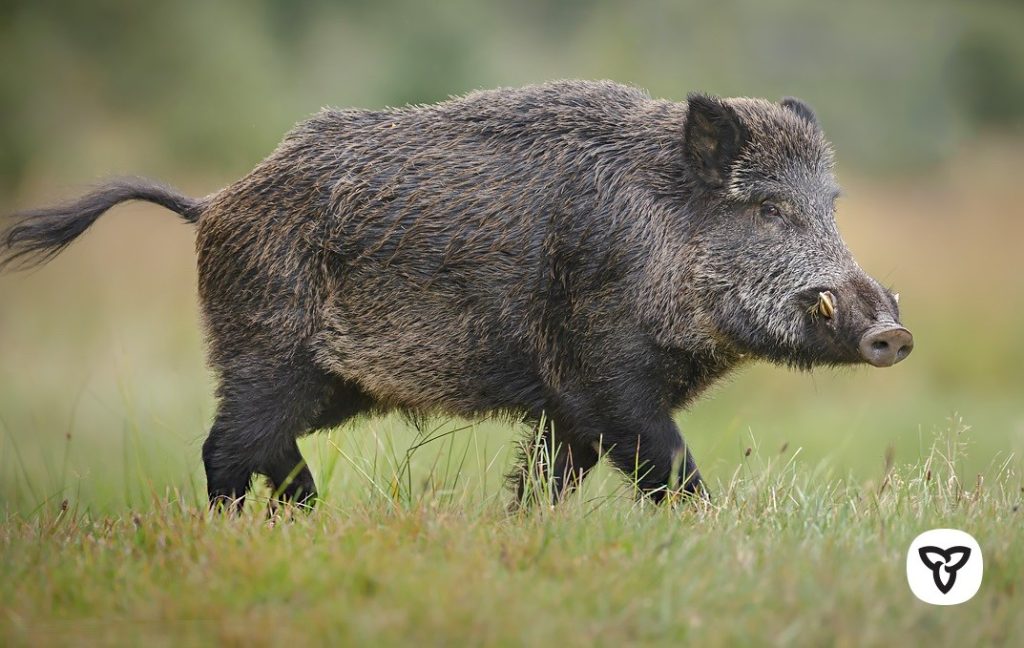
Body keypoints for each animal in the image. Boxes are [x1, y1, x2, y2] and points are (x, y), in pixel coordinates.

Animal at [0, 81, 913, 510]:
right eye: (766, 208)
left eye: (830, 205)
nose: (893, 334)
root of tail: (214, 202)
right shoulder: (606, 377)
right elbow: (670, 469)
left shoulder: (566, 406)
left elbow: (548, 480)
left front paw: (520, 534)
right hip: (264, 353)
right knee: (226, 449)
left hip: (326, 383)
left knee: (267, 451)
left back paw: (310, 520)